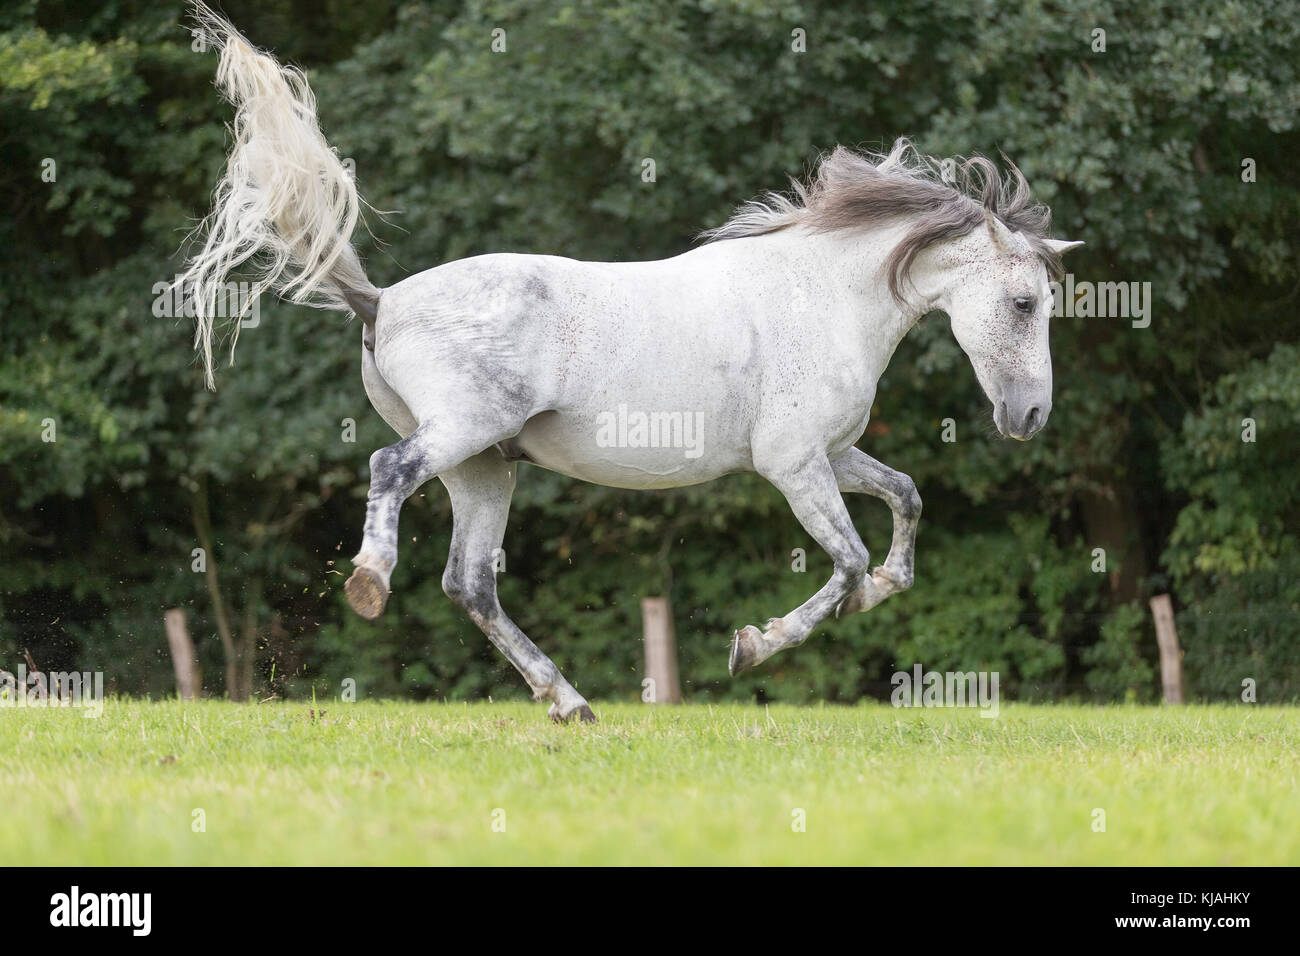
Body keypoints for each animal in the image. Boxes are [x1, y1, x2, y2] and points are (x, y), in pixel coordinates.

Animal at [179, 3, 1082, 723]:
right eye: (1024, 304)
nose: (1030, 417)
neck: (822, 293)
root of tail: (383, 302)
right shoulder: (793, 464)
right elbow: (851, 556)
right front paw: (756, 644)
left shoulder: (831, 454)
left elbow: (906, 499)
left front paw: (876, 594)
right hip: (463, 431)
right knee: (390, 470)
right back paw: (371, 581)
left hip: (485, 466)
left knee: (470, 584)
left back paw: (569, 702)